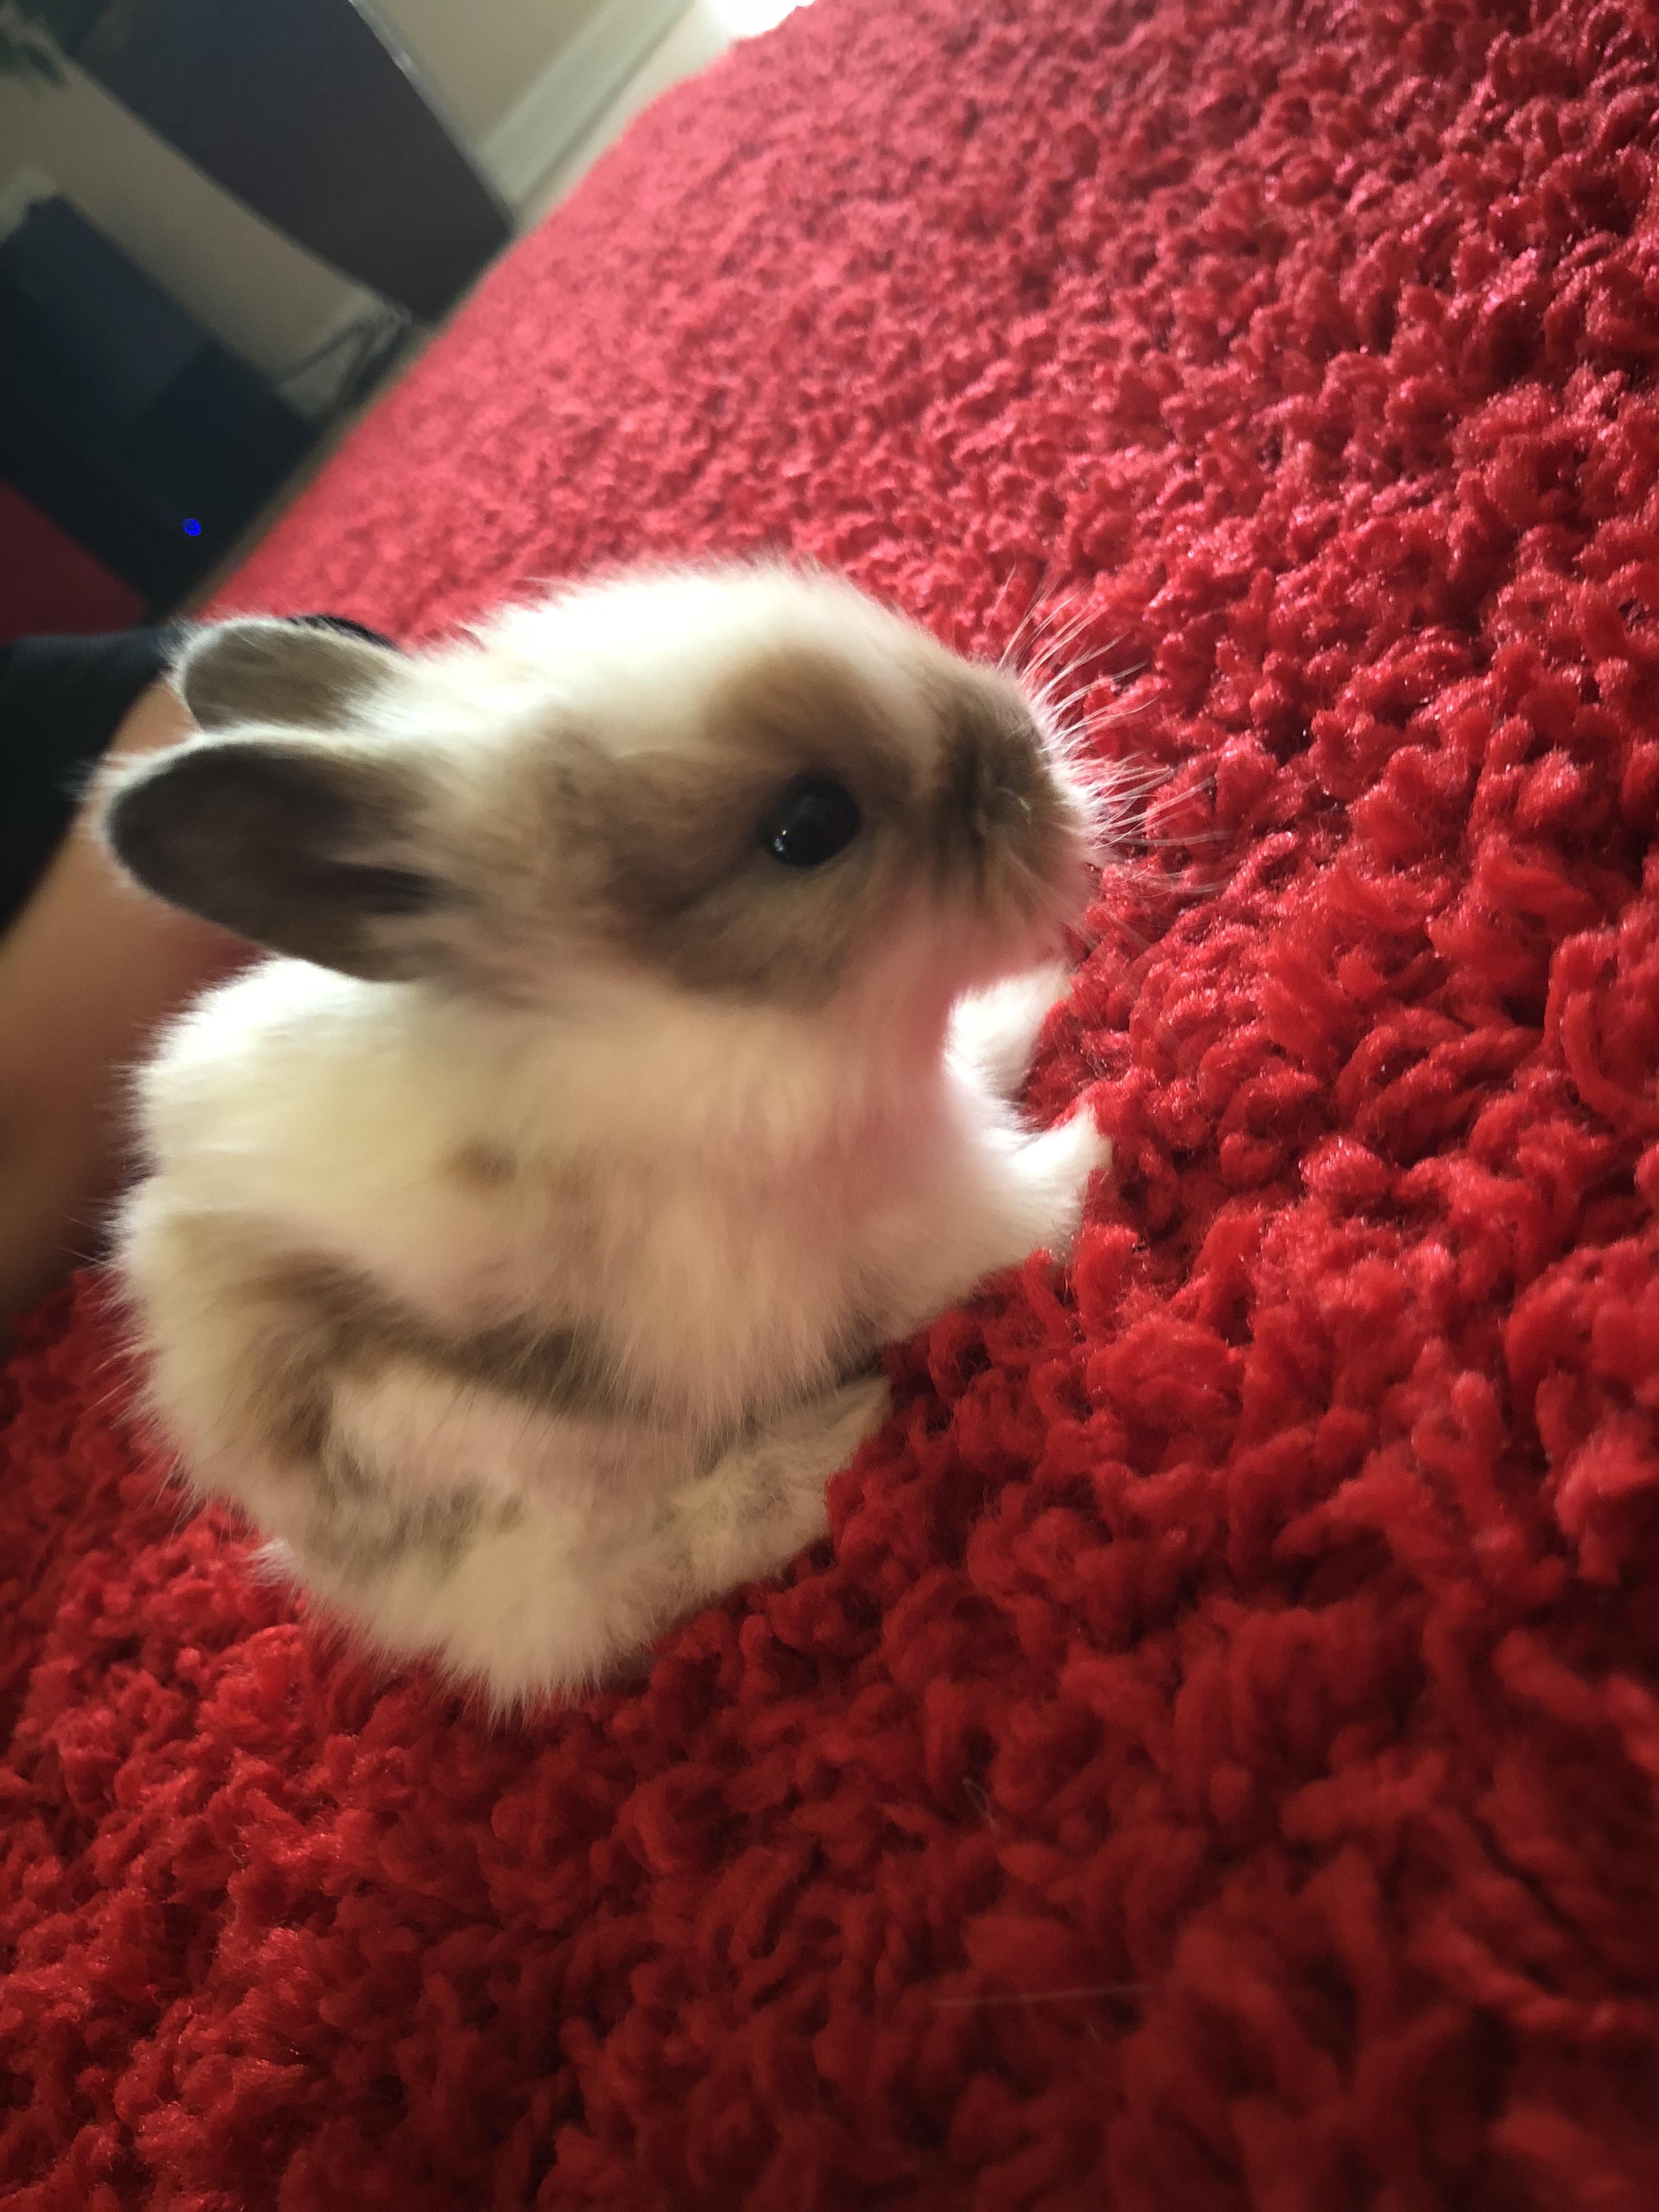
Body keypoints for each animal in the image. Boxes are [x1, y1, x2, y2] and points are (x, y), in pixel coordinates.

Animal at [97, 562, 1112, 1708]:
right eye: (809, 824)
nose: (1028, 756)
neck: (697, 1025)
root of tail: (347, 1574)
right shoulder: (895, 1227)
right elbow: (1021, 1220)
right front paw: (1105, 1128)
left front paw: (1040, 1002)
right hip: (508, 1455)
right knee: (595, 1591)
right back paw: (825, 1453)